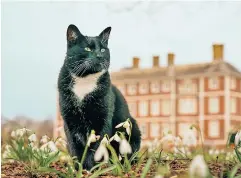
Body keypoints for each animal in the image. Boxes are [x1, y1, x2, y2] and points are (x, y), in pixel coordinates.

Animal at [57, 24, 141, 170]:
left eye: (102, 49)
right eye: (87, 48)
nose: (99, 55)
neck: (85, 80)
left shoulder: (102, 118)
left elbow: (96, 147)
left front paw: (92, 168)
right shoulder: (69, 120)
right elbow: (75, 147)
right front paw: (79, 169)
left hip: (132, 127)